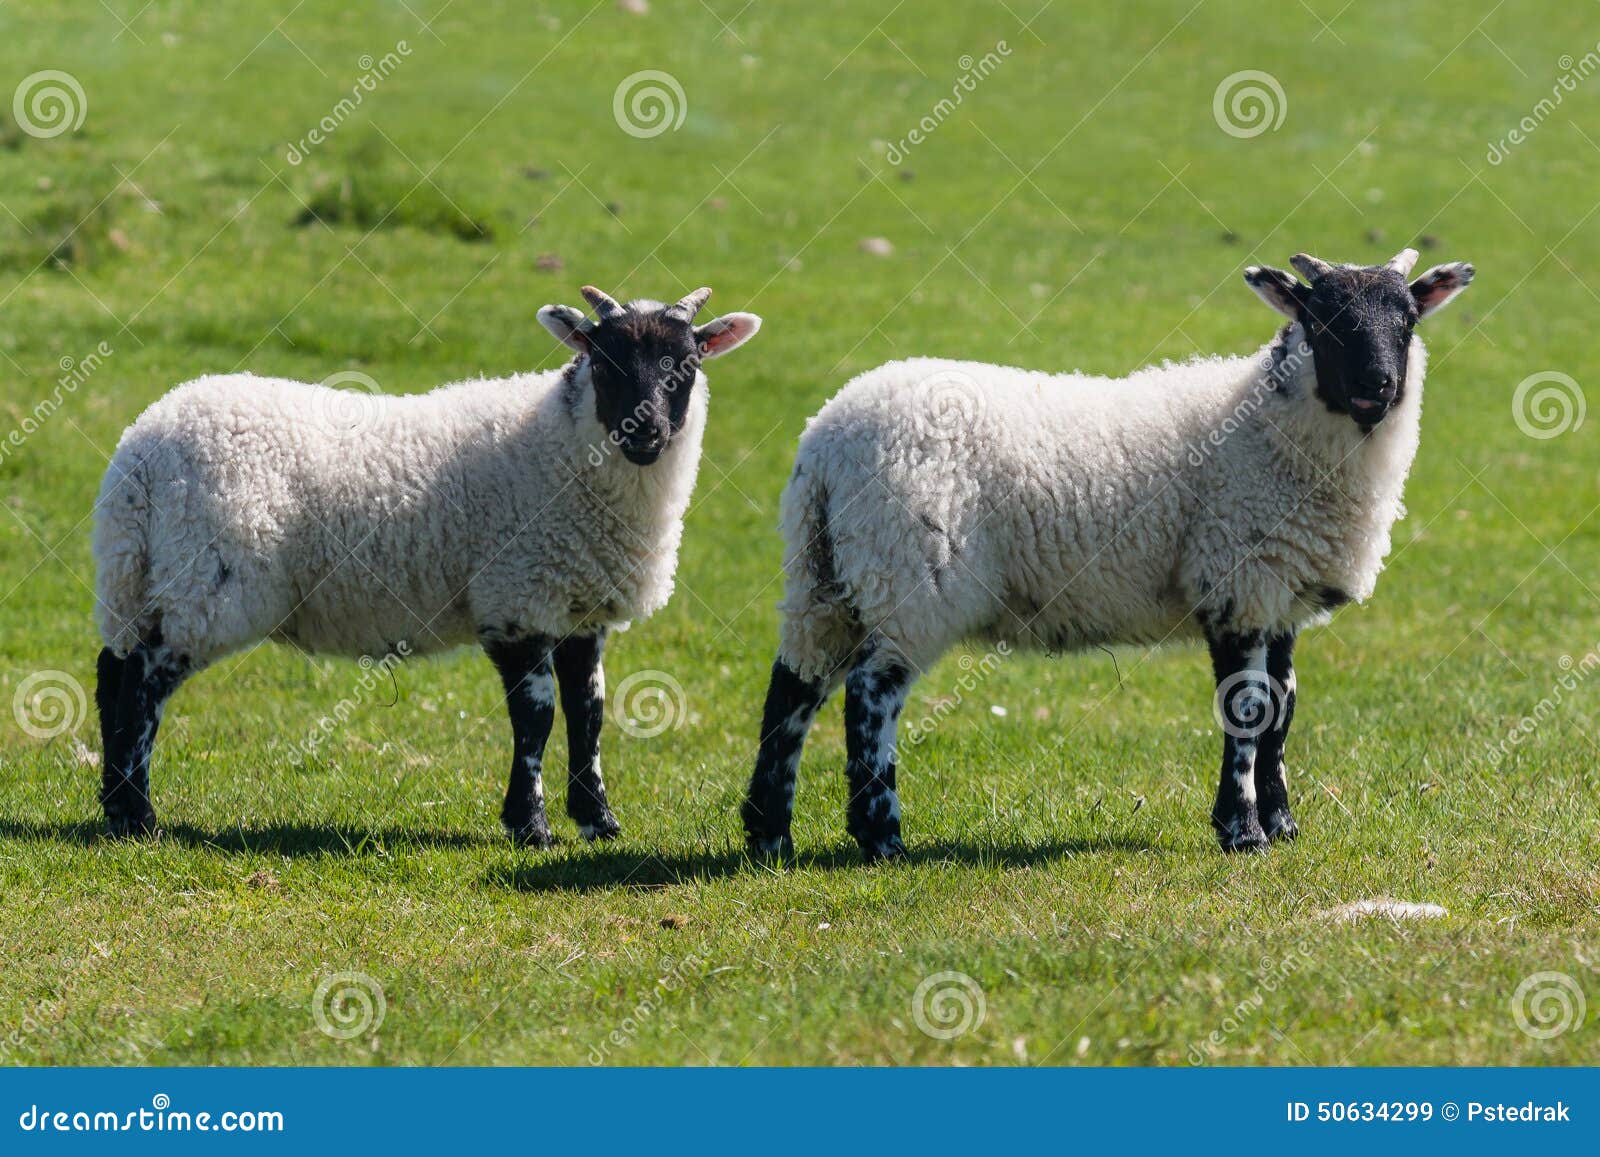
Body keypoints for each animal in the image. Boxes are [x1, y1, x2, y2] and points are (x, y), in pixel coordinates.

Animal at [92, 285, 761, 845]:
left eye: (686, 365)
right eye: (603, 363)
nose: (645, 432)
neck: (564, 449)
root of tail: (139, 454)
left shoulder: (579, 605)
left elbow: (589, 713)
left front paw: (597, 819)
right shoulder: (517, 597)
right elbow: (537, 716)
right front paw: (531, 825)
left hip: (147, 581)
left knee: (112, 672)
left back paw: (115, 808)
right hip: (208, 581)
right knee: (144, 681)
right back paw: (140, 817)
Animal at [741, 248, 1473, 860]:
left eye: (1407, 320)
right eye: (1323, 320)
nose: (1378, 384)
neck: (1277, 436)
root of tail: (825, 442)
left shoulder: (1281, 592)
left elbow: (1282, 710)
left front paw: (1283, 821)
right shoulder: (1234, 578)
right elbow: (1245, 711)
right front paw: (1242, 831)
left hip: (827, 578)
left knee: (792, 691)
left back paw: (770, 835)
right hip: (912, 577)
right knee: (870, 694)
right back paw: (881, 837)